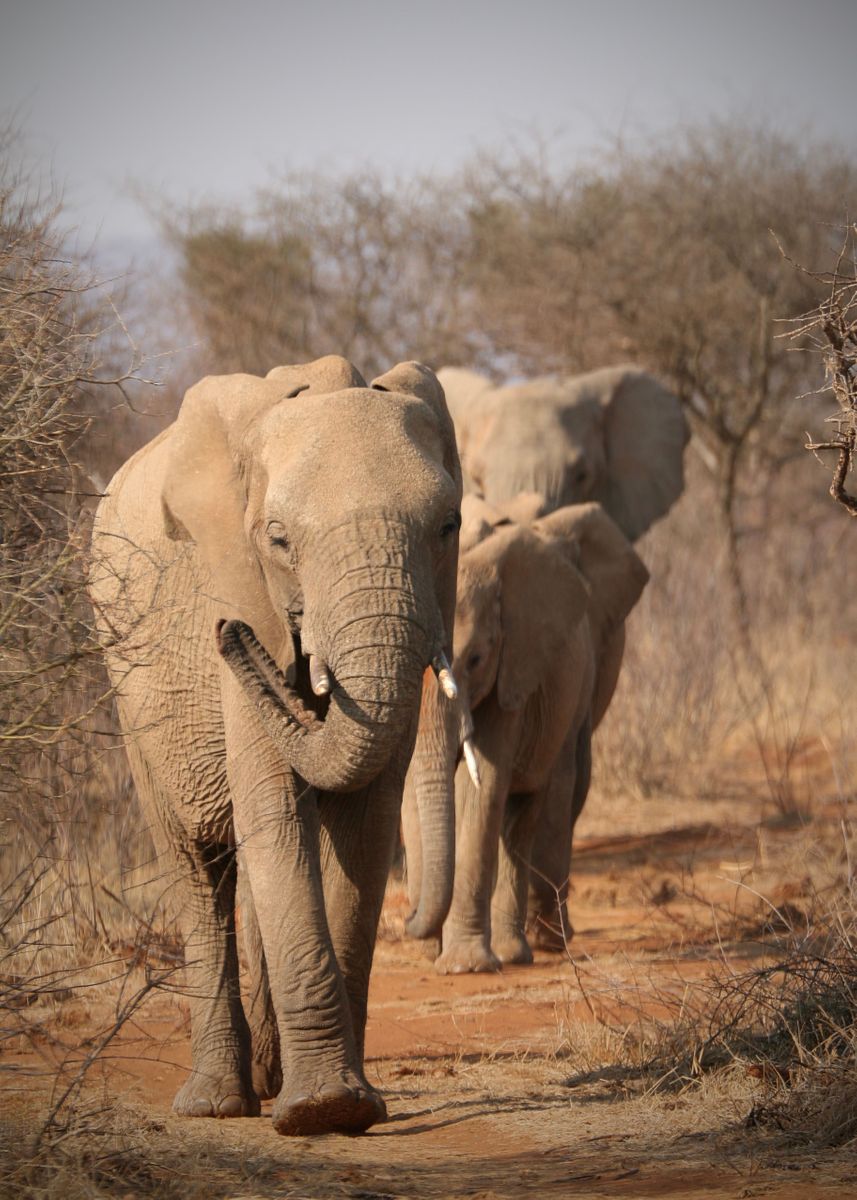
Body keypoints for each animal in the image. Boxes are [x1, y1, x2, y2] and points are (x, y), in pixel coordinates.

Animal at [89, 356, 462, 1135]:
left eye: (449, 526)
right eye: (278, 539)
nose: (232, 638)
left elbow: (363, 818)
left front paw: (341, 1107)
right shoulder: (234, 582)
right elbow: (270, 801)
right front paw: (321, 1109)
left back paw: (266, 1081)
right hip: (125, 681)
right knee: (198, 864)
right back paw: (216, 1102)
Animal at [401, 493, 648, 973]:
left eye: (476, 659)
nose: (408, 918)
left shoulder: (515, 667)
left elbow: (482, 787)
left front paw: (465, 965)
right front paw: (427, 952)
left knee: (535, 803)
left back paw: (536, 944)